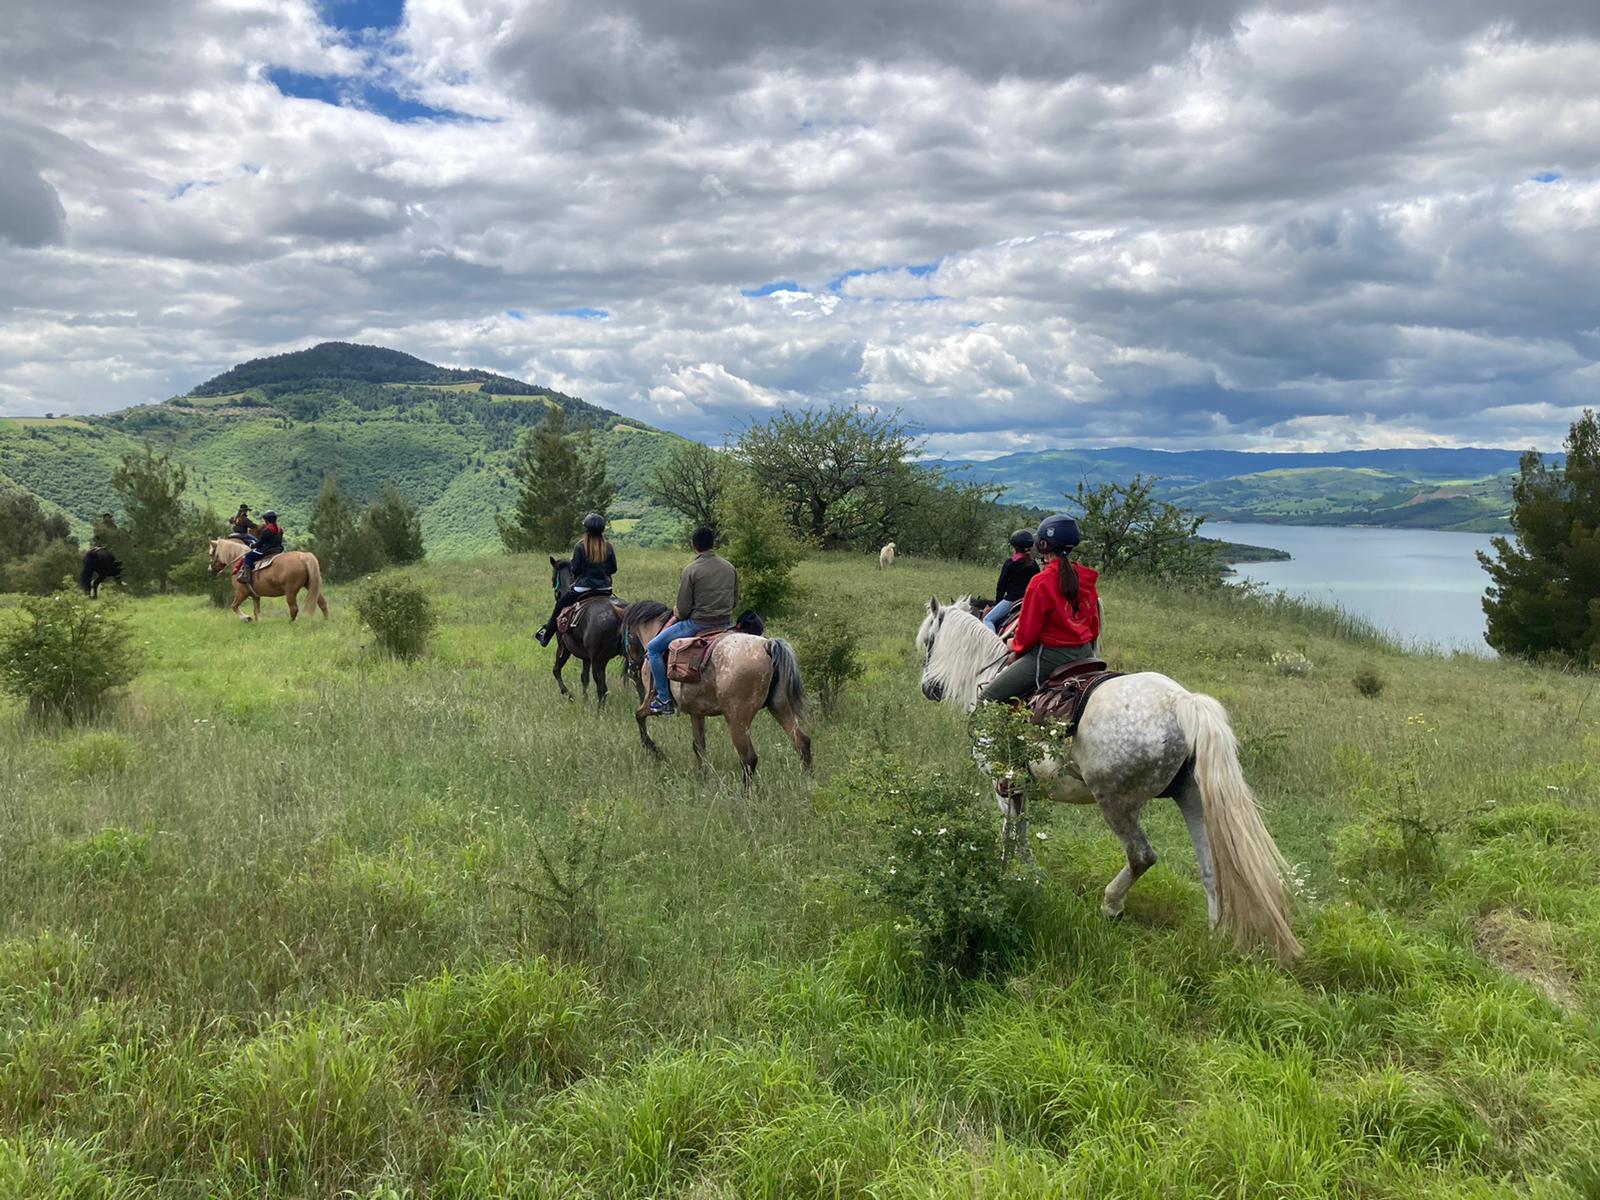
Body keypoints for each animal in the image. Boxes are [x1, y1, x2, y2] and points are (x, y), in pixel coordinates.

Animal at [548, 557, 632, 706]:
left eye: (553, 578)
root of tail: (621, 612)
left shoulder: (564, 648)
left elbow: (556, 670)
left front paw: (570, 696)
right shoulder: (586, 656)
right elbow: (584, 677)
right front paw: (585, 700)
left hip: (599, 660)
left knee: (602, 688)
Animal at [622, 603, 811, 785]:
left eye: (626, 634)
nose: (632, 668)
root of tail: (766, 646)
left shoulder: (650, 703)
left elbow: (639, 716)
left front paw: (654, 750)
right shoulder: (696, 712)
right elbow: (699, 746)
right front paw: (703, 777)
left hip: (737, 719)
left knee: (749, 758)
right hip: (780, 707)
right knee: (802, 741)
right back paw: (808, 780)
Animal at [915, 597, 1301, 961]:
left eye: (929, 641)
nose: (928, 688)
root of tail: (1184, 703)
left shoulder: (1004, 784)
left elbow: (1013, 834)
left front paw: (1016, 876)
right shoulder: (1021, 788)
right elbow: (1020, 830)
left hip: (1117, 803)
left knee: (1142, 856)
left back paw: (1112, 905)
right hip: (1193, 799)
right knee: (1210, 870)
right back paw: (1213, 937)